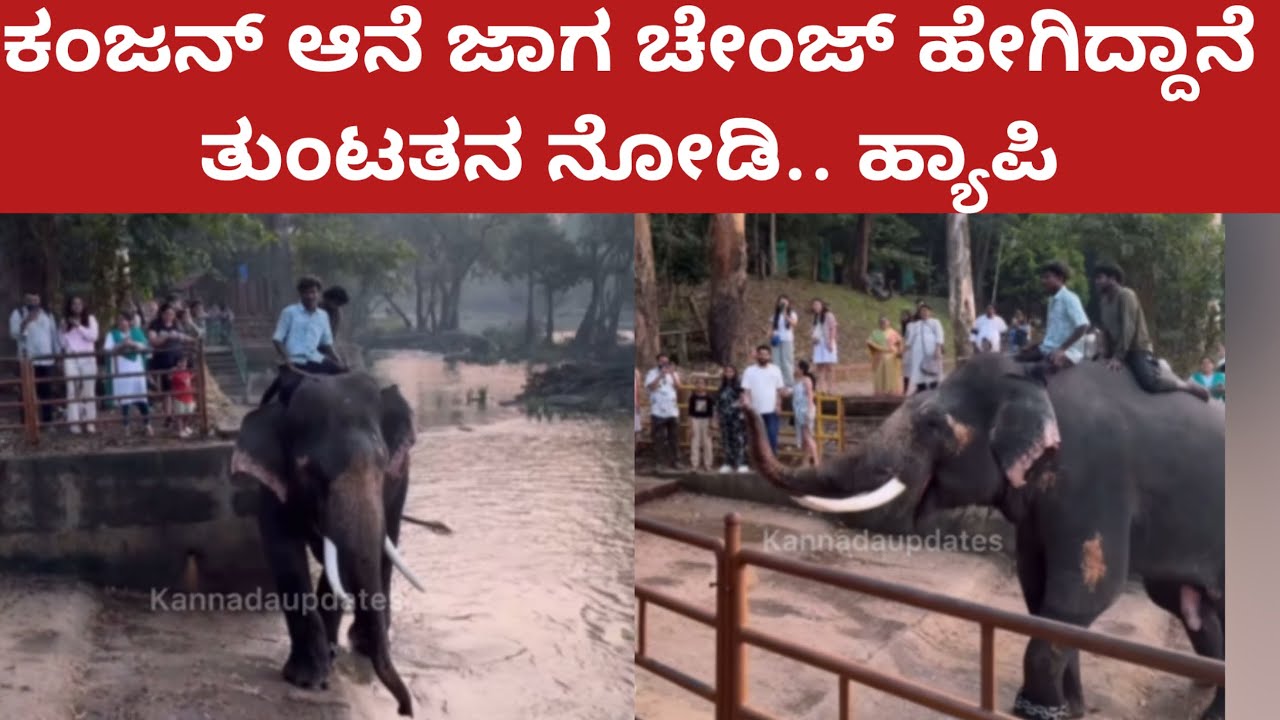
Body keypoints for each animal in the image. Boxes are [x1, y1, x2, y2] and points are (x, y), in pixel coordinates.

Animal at [231, 371, 423, 717]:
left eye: (381, 462)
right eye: (309, 470)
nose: (404, 710)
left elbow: (344, 560)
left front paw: (324, 664)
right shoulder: (272, 482)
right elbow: (284, 553)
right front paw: (307, 679)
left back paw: (362, 644)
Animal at [744, 353, 1224, 720]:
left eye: (933, 424)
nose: (747, 402)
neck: (1035, 379)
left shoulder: (1095, 476)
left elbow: (1085, 593)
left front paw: (1034, 712)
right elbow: (1038, 588)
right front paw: (1068, 710)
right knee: (1184, 602)